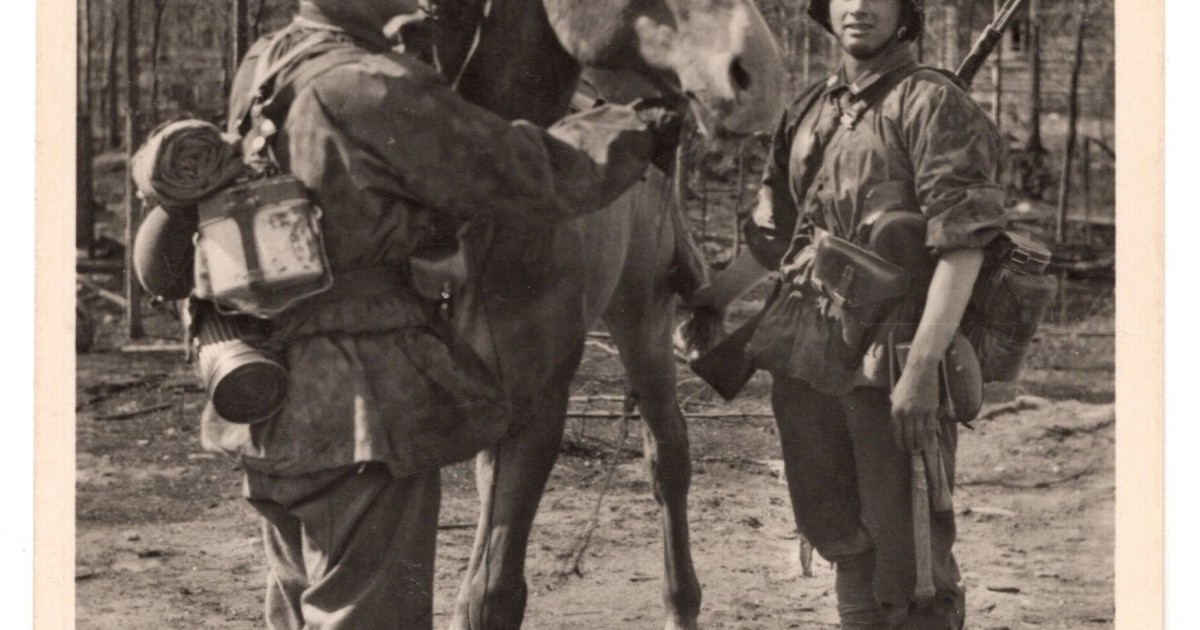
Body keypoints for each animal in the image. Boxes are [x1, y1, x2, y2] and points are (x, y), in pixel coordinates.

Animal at [415, 2, 786, 628]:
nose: (759, 77)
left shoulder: (537, 409)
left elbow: (493, 595)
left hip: (642, 322)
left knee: (668, 457)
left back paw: (681, 602)